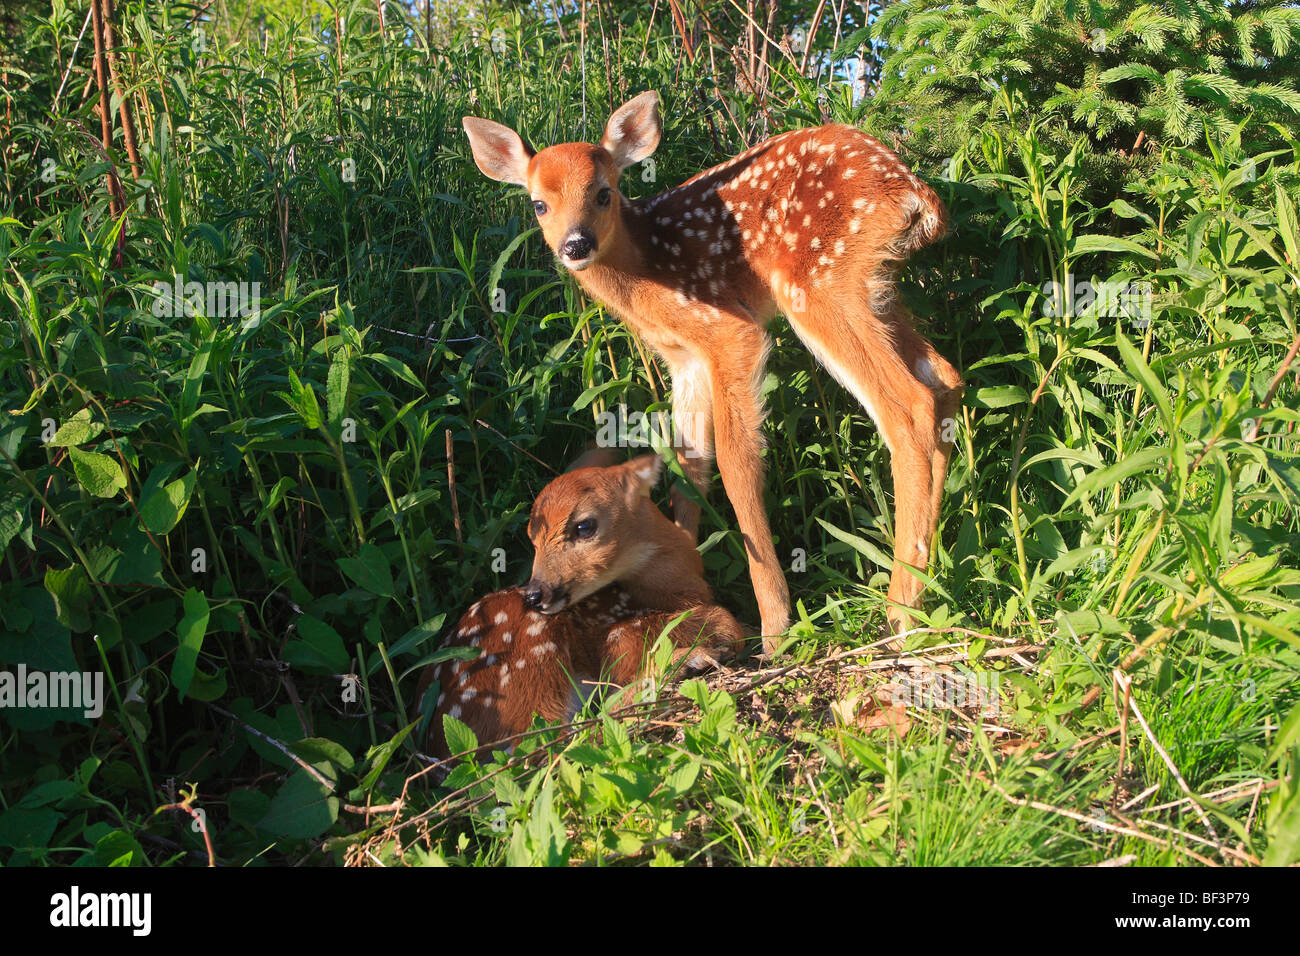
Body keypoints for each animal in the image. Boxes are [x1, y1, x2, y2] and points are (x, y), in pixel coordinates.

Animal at [417, 454, 743, 761]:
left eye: (584, 526)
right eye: (532, 539)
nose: (534, 593)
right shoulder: (618, 636)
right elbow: (726, 622)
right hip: (533, 660)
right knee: (545, 745)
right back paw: (685, 663)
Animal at [462, 92, 964, 654]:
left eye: (603, 193)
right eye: (538, 204)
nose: (575, 245)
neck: (645, 271)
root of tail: (912, 191)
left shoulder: (729, 332)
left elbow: (735, 462)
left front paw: (774, 628)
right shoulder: (684, 361)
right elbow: (687, 463)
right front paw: (685, 572)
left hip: (818, 283)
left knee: (909, 407)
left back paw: (900, 613)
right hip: (876, 287)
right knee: (945, 381)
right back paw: (926, 582)